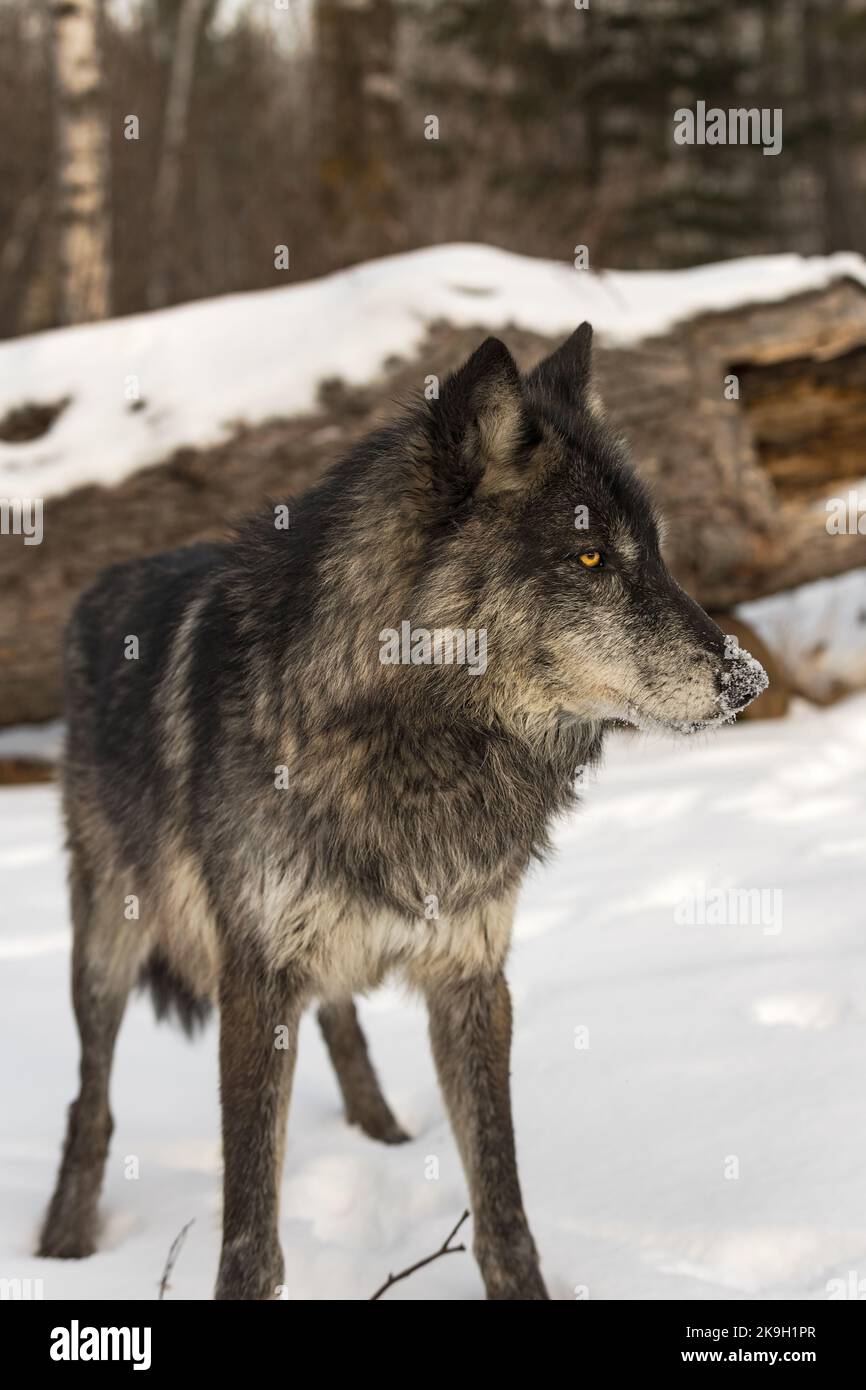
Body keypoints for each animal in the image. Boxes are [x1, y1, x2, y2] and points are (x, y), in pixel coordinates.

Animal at [38, 324, 767, 1299]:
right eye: (589, 559)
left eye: (655, 552)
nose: (747, 681)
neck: (420, 747)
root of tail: (99, 585)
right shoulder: (255, 977)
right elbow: (250, 1230)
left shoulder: (471, 975)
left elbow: (501, 1203)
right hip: (108, 943)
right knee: (90, 1098)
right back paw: (65, 1243)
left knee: (340, 1019)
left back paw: (381, 1135)